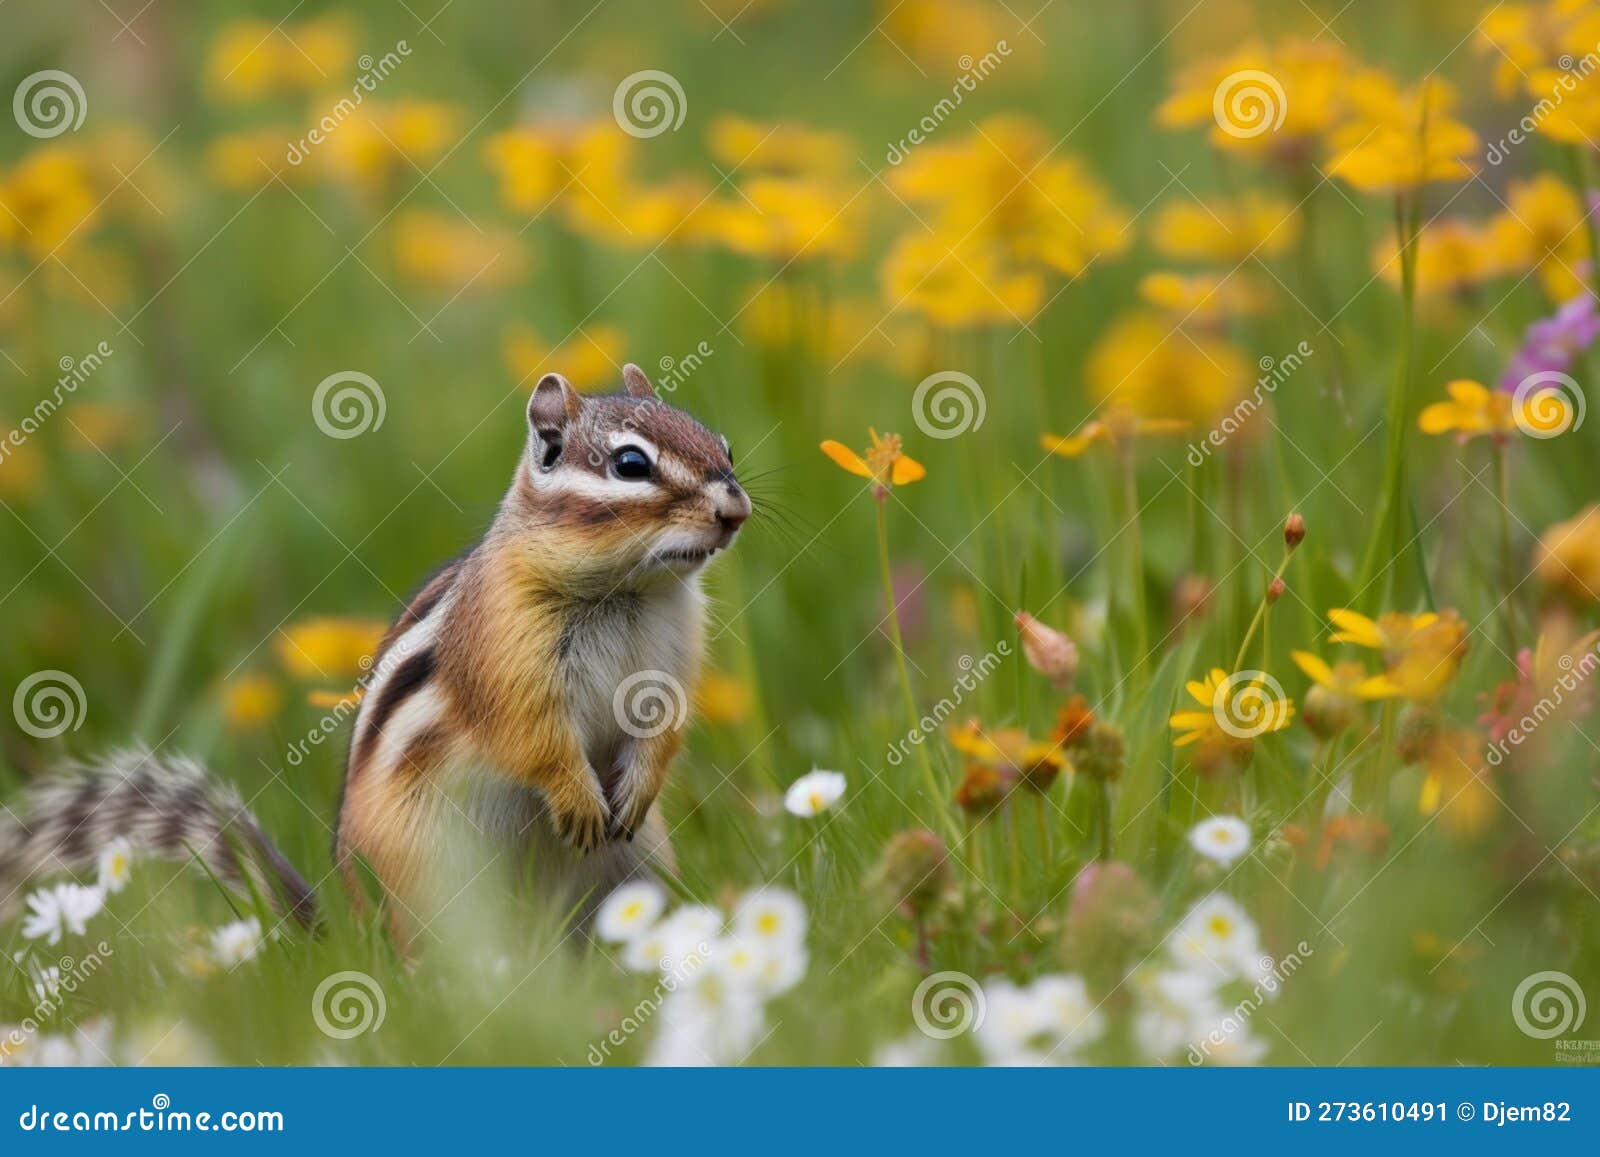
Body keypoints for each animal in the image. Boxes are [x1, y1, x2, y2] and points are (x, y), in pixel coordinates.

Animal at [0, 363, 749, 944]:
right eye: (631, 464)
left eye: (724, 446)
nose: (735, 510)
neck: (628, 592)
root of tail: (354, 934)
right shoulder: (505, 656)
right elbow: (531, 735)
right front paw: (578, 799)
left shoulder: (670, 660)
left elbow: (664, 725)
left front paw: (640, 782)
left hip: (639, 864)